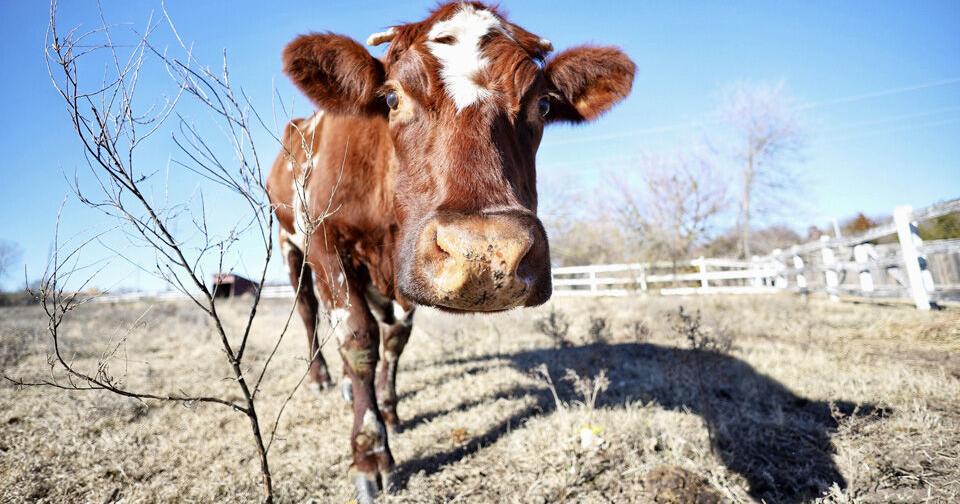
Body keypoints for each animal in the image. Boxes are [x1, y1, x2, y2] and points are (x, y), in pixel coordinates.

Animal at [266, 2, 634, 500]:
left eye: (542, 104)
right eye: (391, 98)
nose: (487, 252)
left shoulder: (402, 273)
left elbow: (393, 339)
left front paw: (389, 411)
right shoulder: (325, 242)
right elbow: (358, 339)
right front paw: (369, 453)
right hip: (290, 245)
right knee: (308, 311)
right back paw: (323, 378)